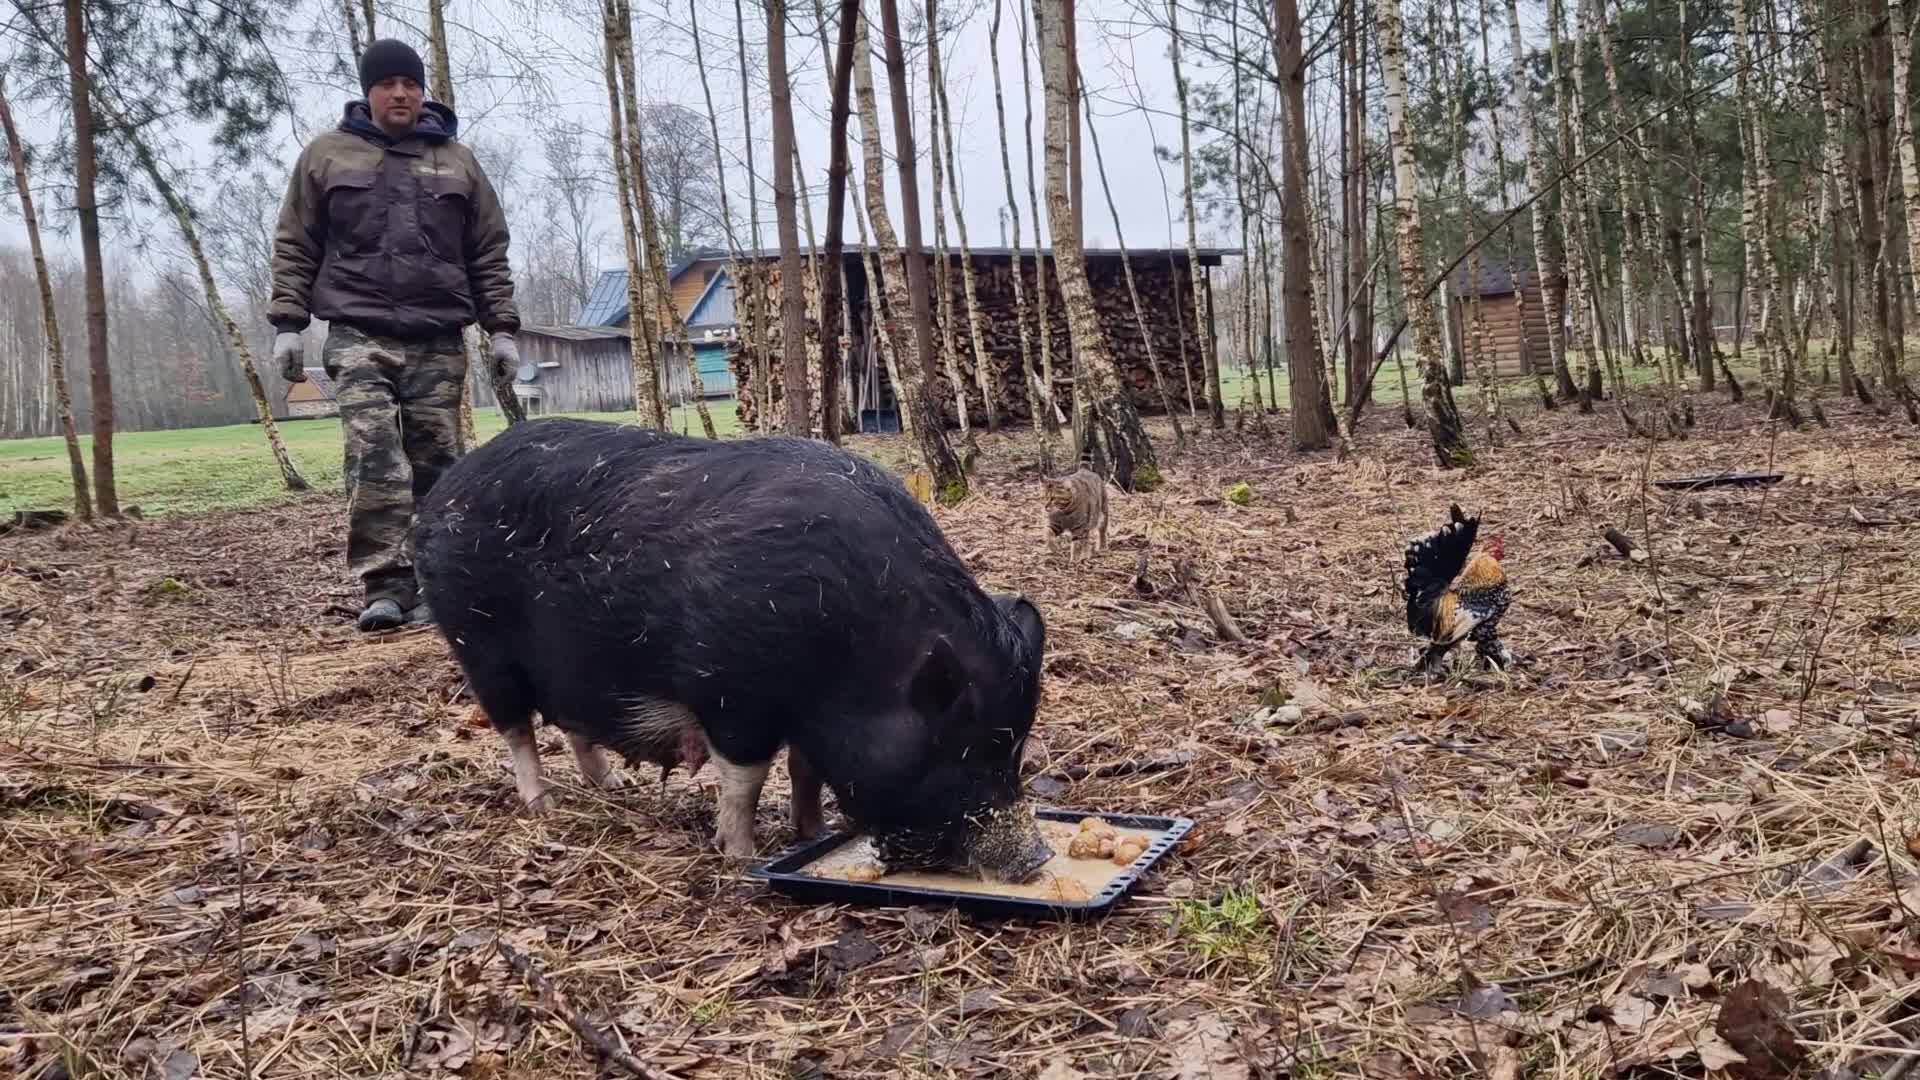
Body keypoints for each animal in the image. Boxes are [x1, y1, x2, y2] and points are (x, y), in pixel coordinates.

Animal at [412, 417, 1059, 880]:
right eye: (960, 745)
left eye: (1014, 745)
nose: (1038, 859)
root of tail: (438, 498)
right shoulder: (731, 695)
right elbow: (748, 777)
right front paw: (740, 856)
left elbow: (804, 768)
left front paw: (809, 832)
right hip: (478, 645)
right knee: (515, 726)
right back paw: (542, 806)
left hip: (567, 665)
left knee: (572, 722)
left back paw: (611, 787)